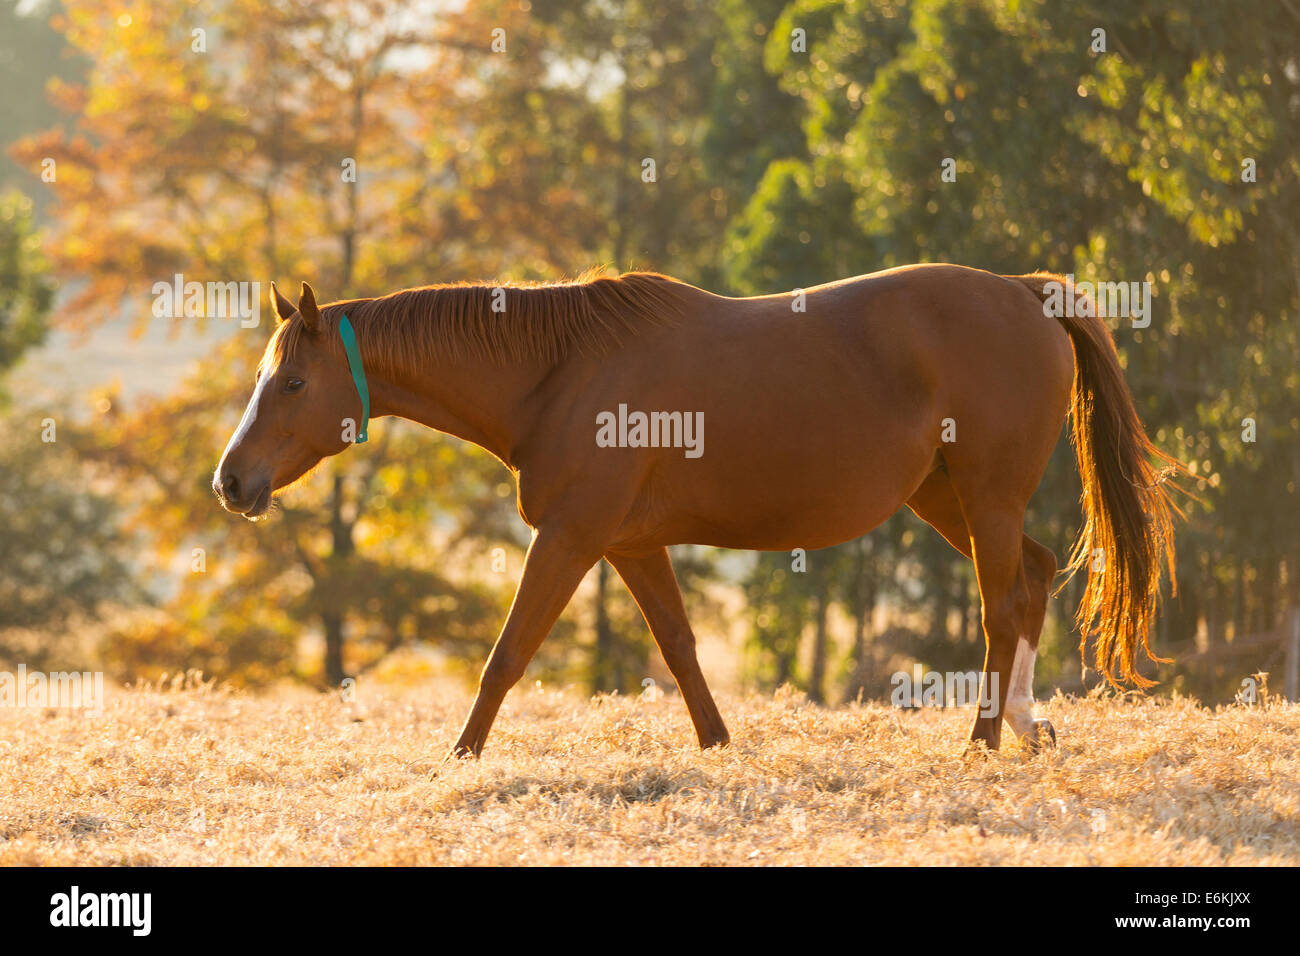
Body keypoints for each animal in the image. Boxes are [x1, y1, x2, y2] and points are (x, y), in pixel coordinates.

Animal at [213, 263, 1183, 758]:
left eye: (291, 383)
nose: (231, 482)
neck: (557, 370)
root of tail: (1025, 292)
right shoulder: (629, 546)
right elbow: (680, 652)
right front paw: (718, 746)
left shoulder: (570, 538)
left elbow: (506, 656)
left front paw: (462, 759)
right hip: (945, 494)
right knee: (1034, 576)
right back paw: (1025, 725)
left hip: (982, 495)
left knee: (1002, 604)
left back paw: (984, 740)